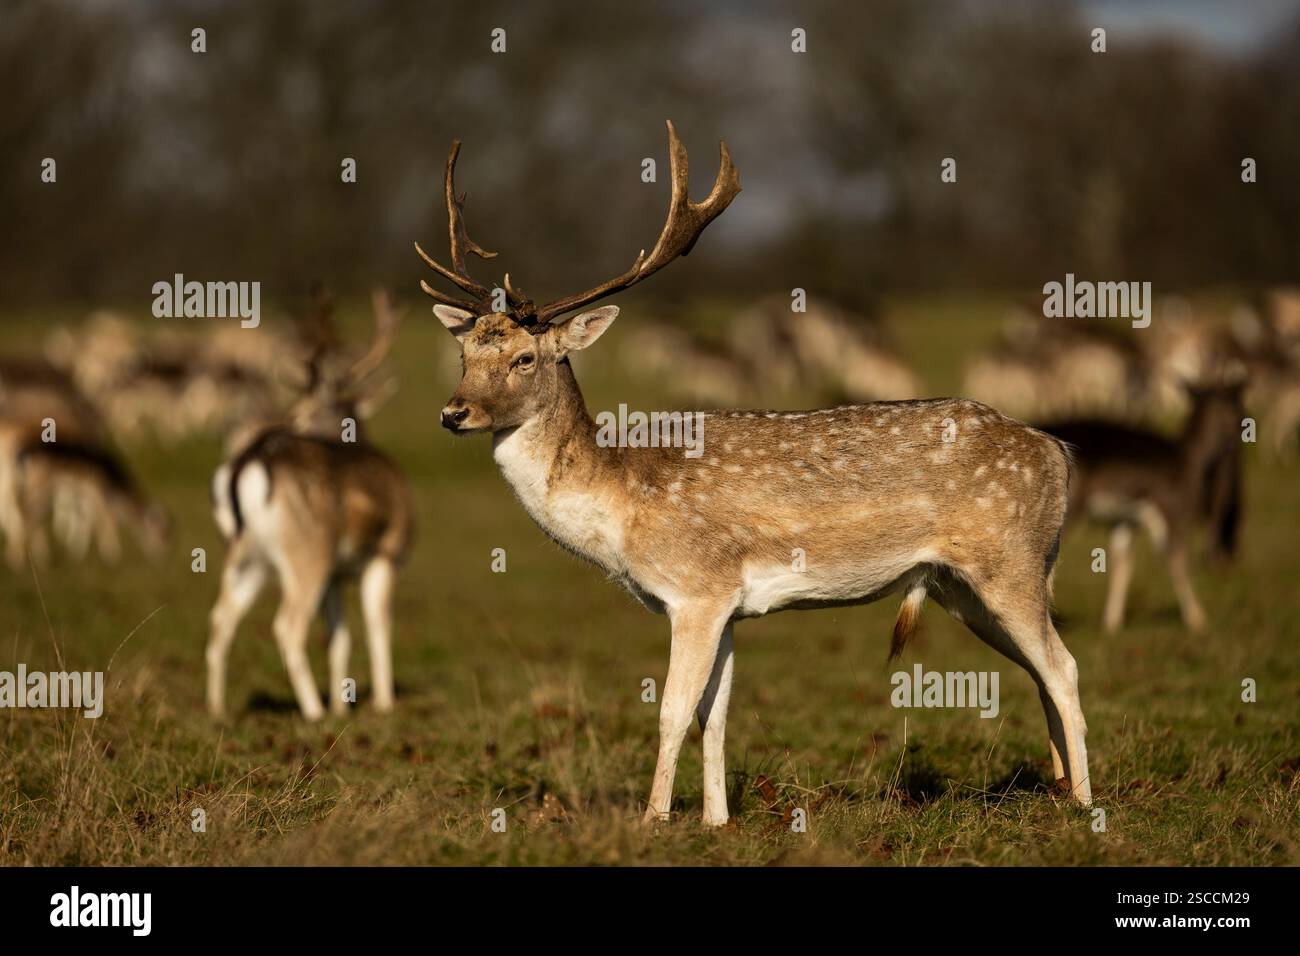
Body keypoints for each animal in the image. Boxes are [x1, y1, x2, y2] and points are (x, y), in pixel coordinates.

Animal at [206, 290, 414, 721]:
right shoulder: (385, 553)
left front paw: (342, 706)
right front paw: (383, 705)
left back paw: (217, 710)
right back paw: (313, 712)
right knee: (286, 625)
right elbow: (377, 627)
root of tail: (245, 465)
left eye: (298, 409)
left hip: (248, 557)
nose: (283, 421)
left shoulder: (335, 574)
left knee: (221, 618)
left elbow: (339, 636)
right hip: (306, 553)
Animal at [417, 121, 1092, 826]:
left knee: (1064, 667)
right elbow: (713, 717)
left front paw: (653, 821)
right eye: (464, 353)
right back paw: (1057, 790)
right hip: (964, 586)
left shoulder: (697, 589)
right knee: (1039, 671)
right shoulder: (728, 607)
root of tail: (1057, 451)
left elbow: (672, 712)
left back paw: (1086, 805)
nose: (453, 412)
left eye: (525, 358)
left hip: (1009, 561)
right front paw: (716, 821)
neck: (619, 502)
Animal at [1044, 370, 1247, 636]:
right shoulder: (1172, 507)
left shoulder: (1126, 519)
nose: (1237, 438)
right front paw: (1198, 620)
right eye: (1236, 404)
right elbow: (1177, 560)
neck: (1188, 461)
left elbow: (1123, 562)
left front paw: (1111, 623)